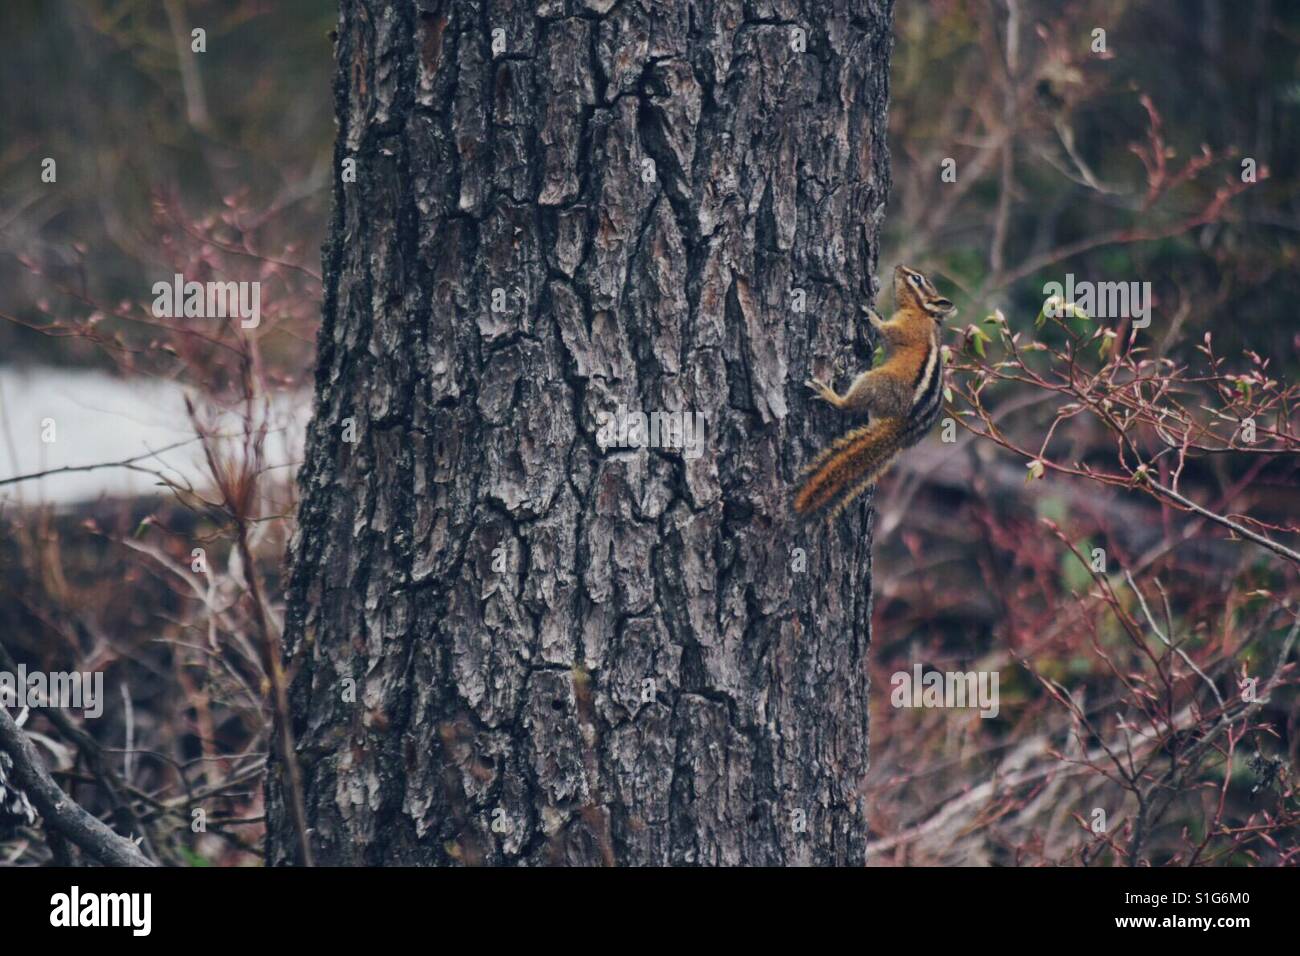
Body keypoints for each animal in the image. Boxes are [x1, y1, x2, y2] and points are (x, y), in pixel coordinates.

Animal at [794, 264, 956, 520]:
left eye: (916, 279)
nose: (899, 267)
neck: (923, 313)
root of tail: (904, 427)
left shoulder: (906, 329)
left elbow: (887, 331)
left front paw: (872, 316)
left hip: (876, 381)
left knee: (849, 405)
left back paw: (829, 394)